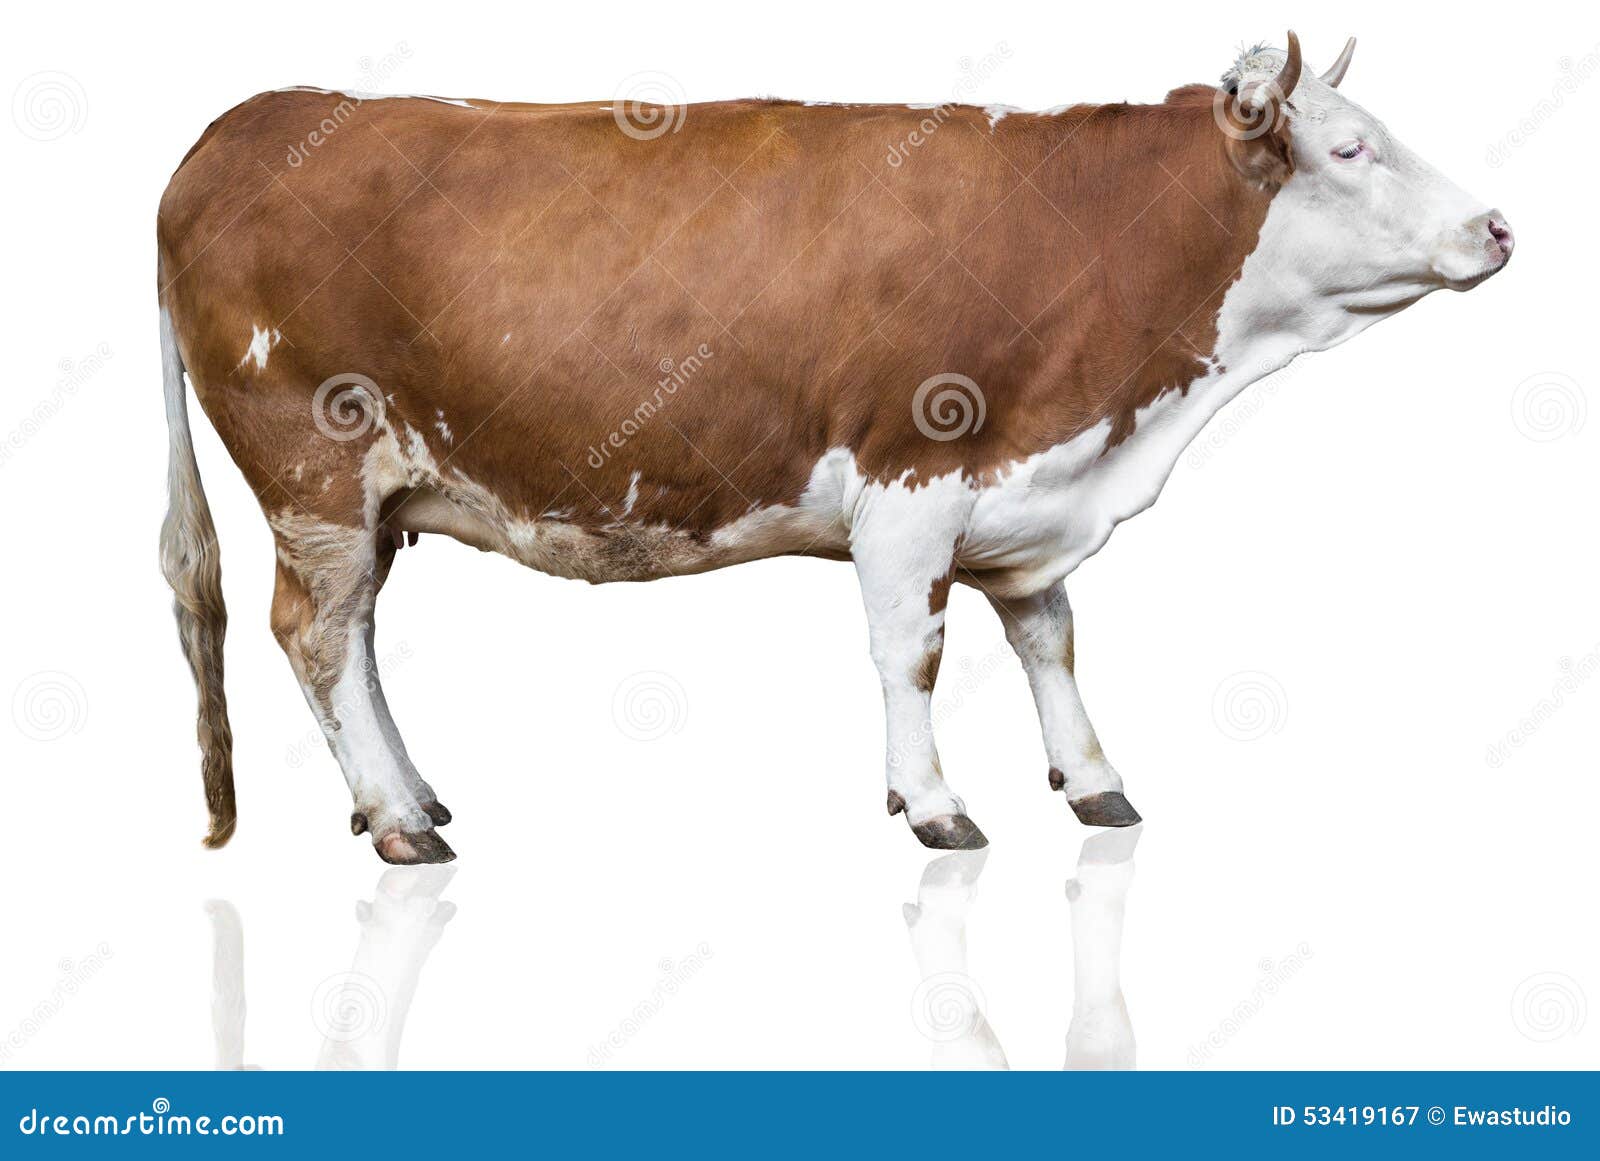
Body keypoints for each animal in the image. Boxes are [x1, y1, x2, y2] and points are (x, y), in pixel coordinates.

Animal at [158, 33, 1513, 863]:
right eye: (1352, 148)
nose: (1498, 226)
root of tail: (246, 120)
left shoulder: (1028, 493)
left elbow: (1050, 638)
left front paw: (1092, 783)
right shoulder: (910, 481)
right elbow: (911, 653)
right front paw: (933, 802)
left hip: (376, 496)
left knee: (354, 642)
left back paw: (411, 792)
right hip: (312, 470)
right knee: (314, 633)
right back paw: (397, 821)